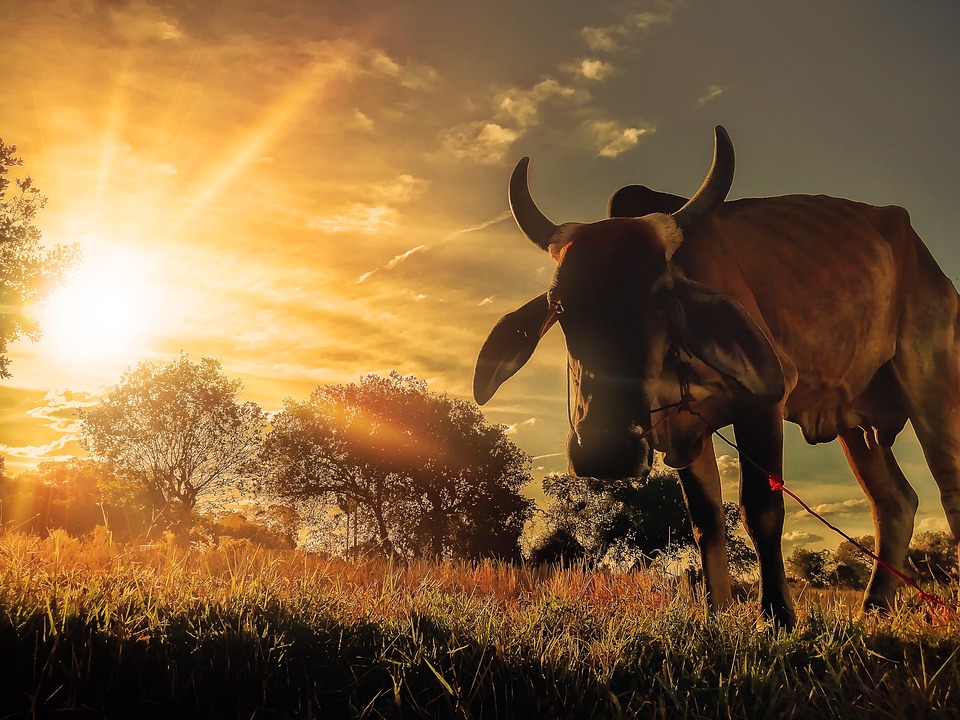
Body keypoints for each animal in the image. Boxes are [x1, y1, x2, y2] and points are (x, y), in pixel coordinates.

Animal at [474, 126, 960, 627]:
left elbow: (761, 510)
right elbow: (705, 522)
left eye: (663, 297)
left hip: (934, 384)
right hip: (854, 422)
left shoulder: (761, 402)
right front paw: (715, 612)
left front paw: (777, 614)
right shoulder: (682, 430)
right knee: (895, 503)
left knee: (949, 491)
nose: (606, 451)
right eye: (561, 306)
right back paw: (873, 607)